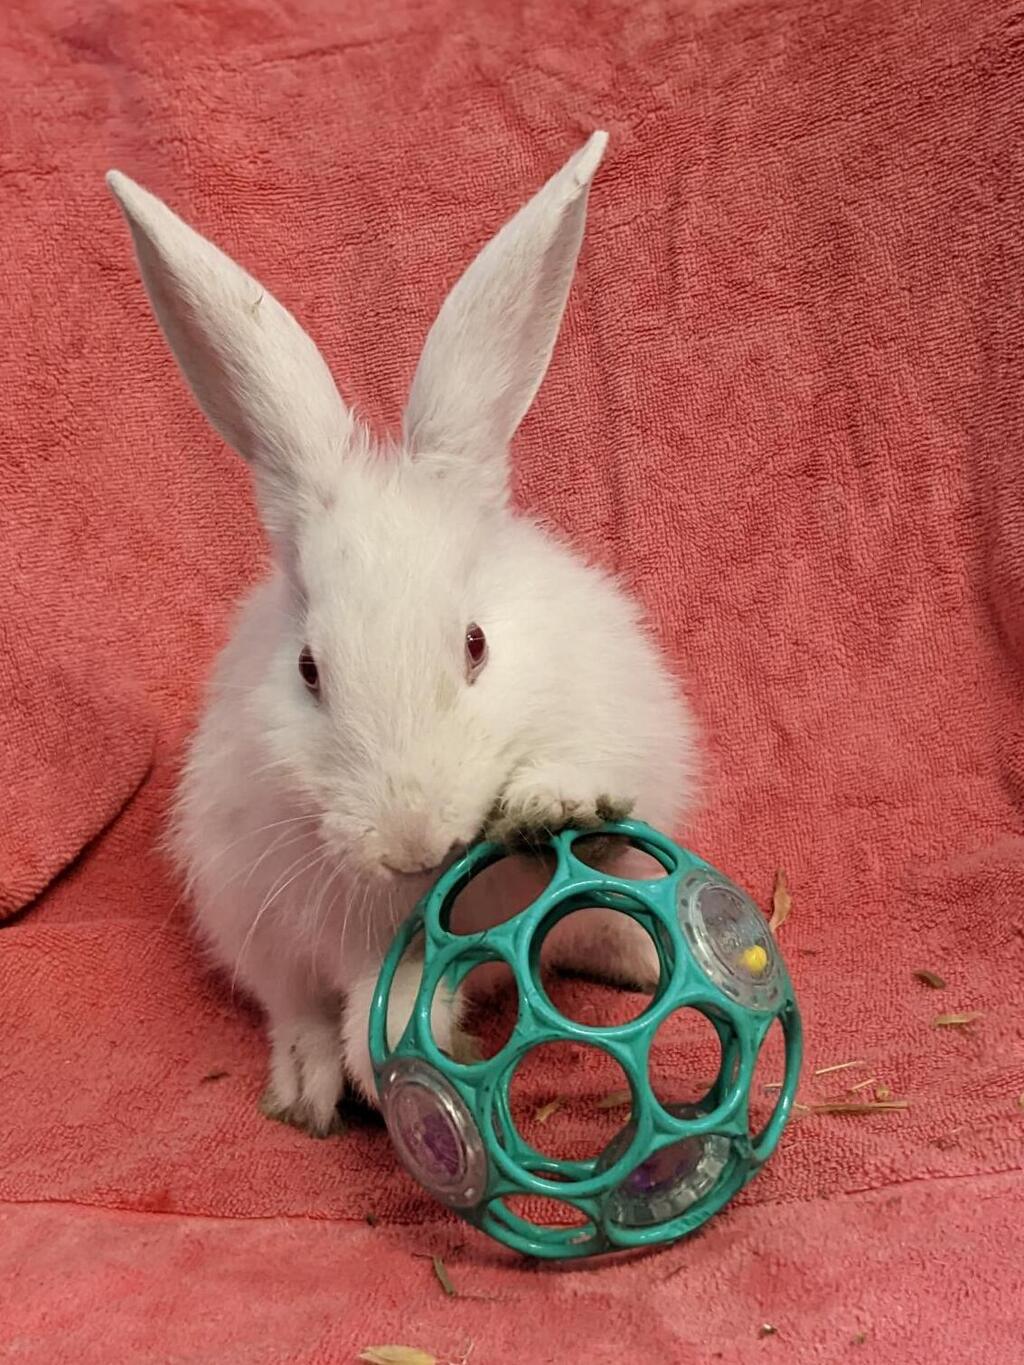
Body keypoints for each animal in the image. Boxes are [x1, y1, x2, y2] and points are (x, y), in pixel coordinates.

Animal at [107, 131, 698, 1137]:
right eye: (309, 669)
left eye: (476, 644)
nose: (413, 842)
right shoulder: (323, 914)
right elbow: (379, 987)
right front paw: (384, 1056)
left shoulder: (618, 727)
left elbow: (596, 808)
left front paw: (552, 801)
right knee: (291, 1003)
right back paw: (306, 1087)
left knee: (594, 922)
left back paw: (645, 953)